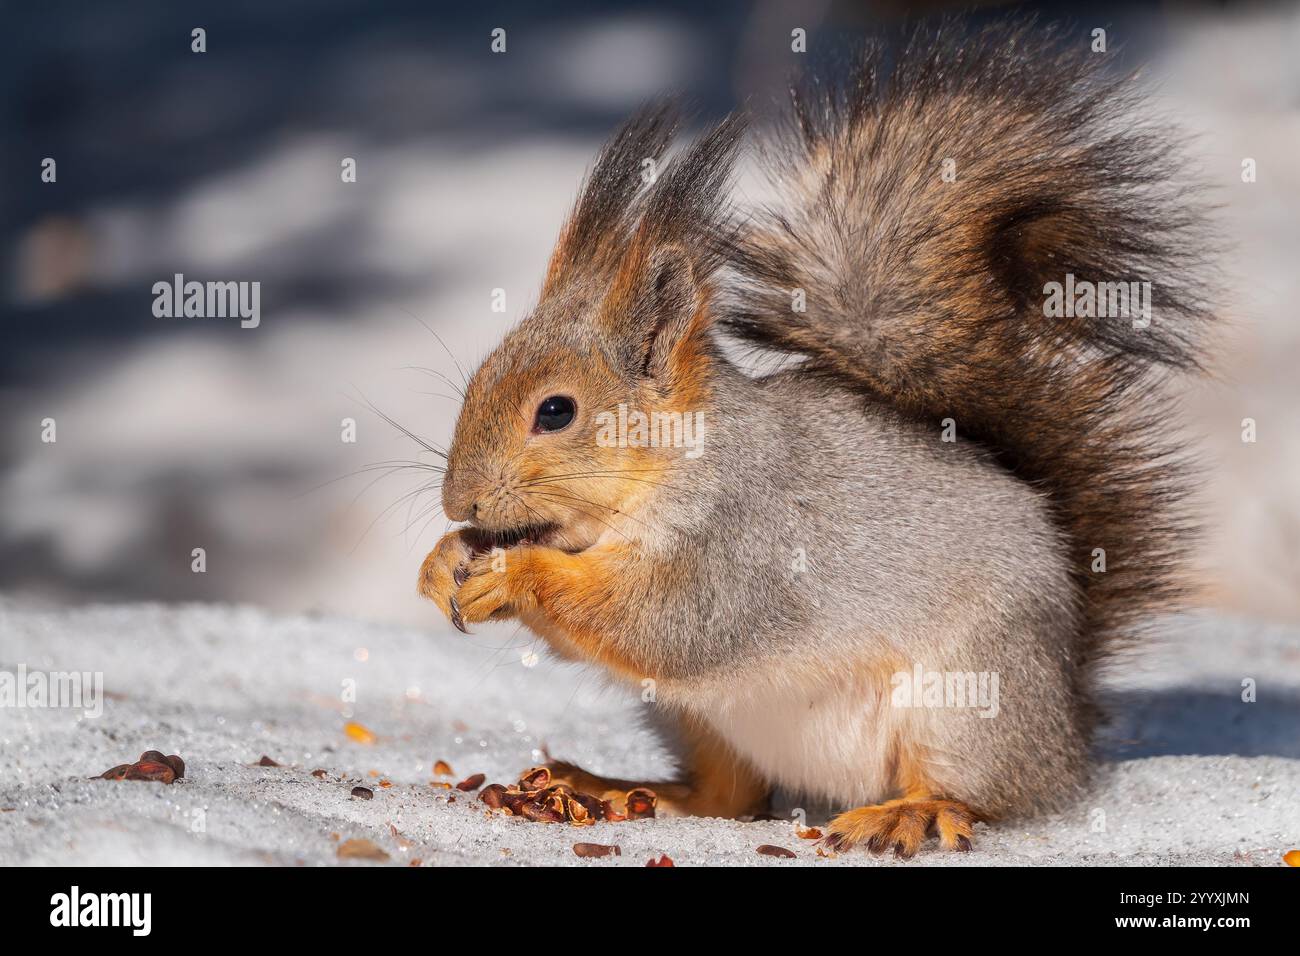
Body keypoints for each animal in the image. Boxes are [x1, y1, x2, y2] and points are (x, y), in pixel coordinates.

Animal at [417, 23, 1214, 856]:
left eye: (555, 411)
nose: (458, 501)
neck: (674, 464)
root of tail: (1067, 728)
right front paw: (443, 563)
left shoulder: (746, 545)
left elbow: (667, 625)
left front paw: (516, 572)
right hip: (695, 716)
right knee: (729, 795)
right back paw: (615, 789)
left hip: (968, 697)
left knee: (982, 793)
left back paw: (910, 811)